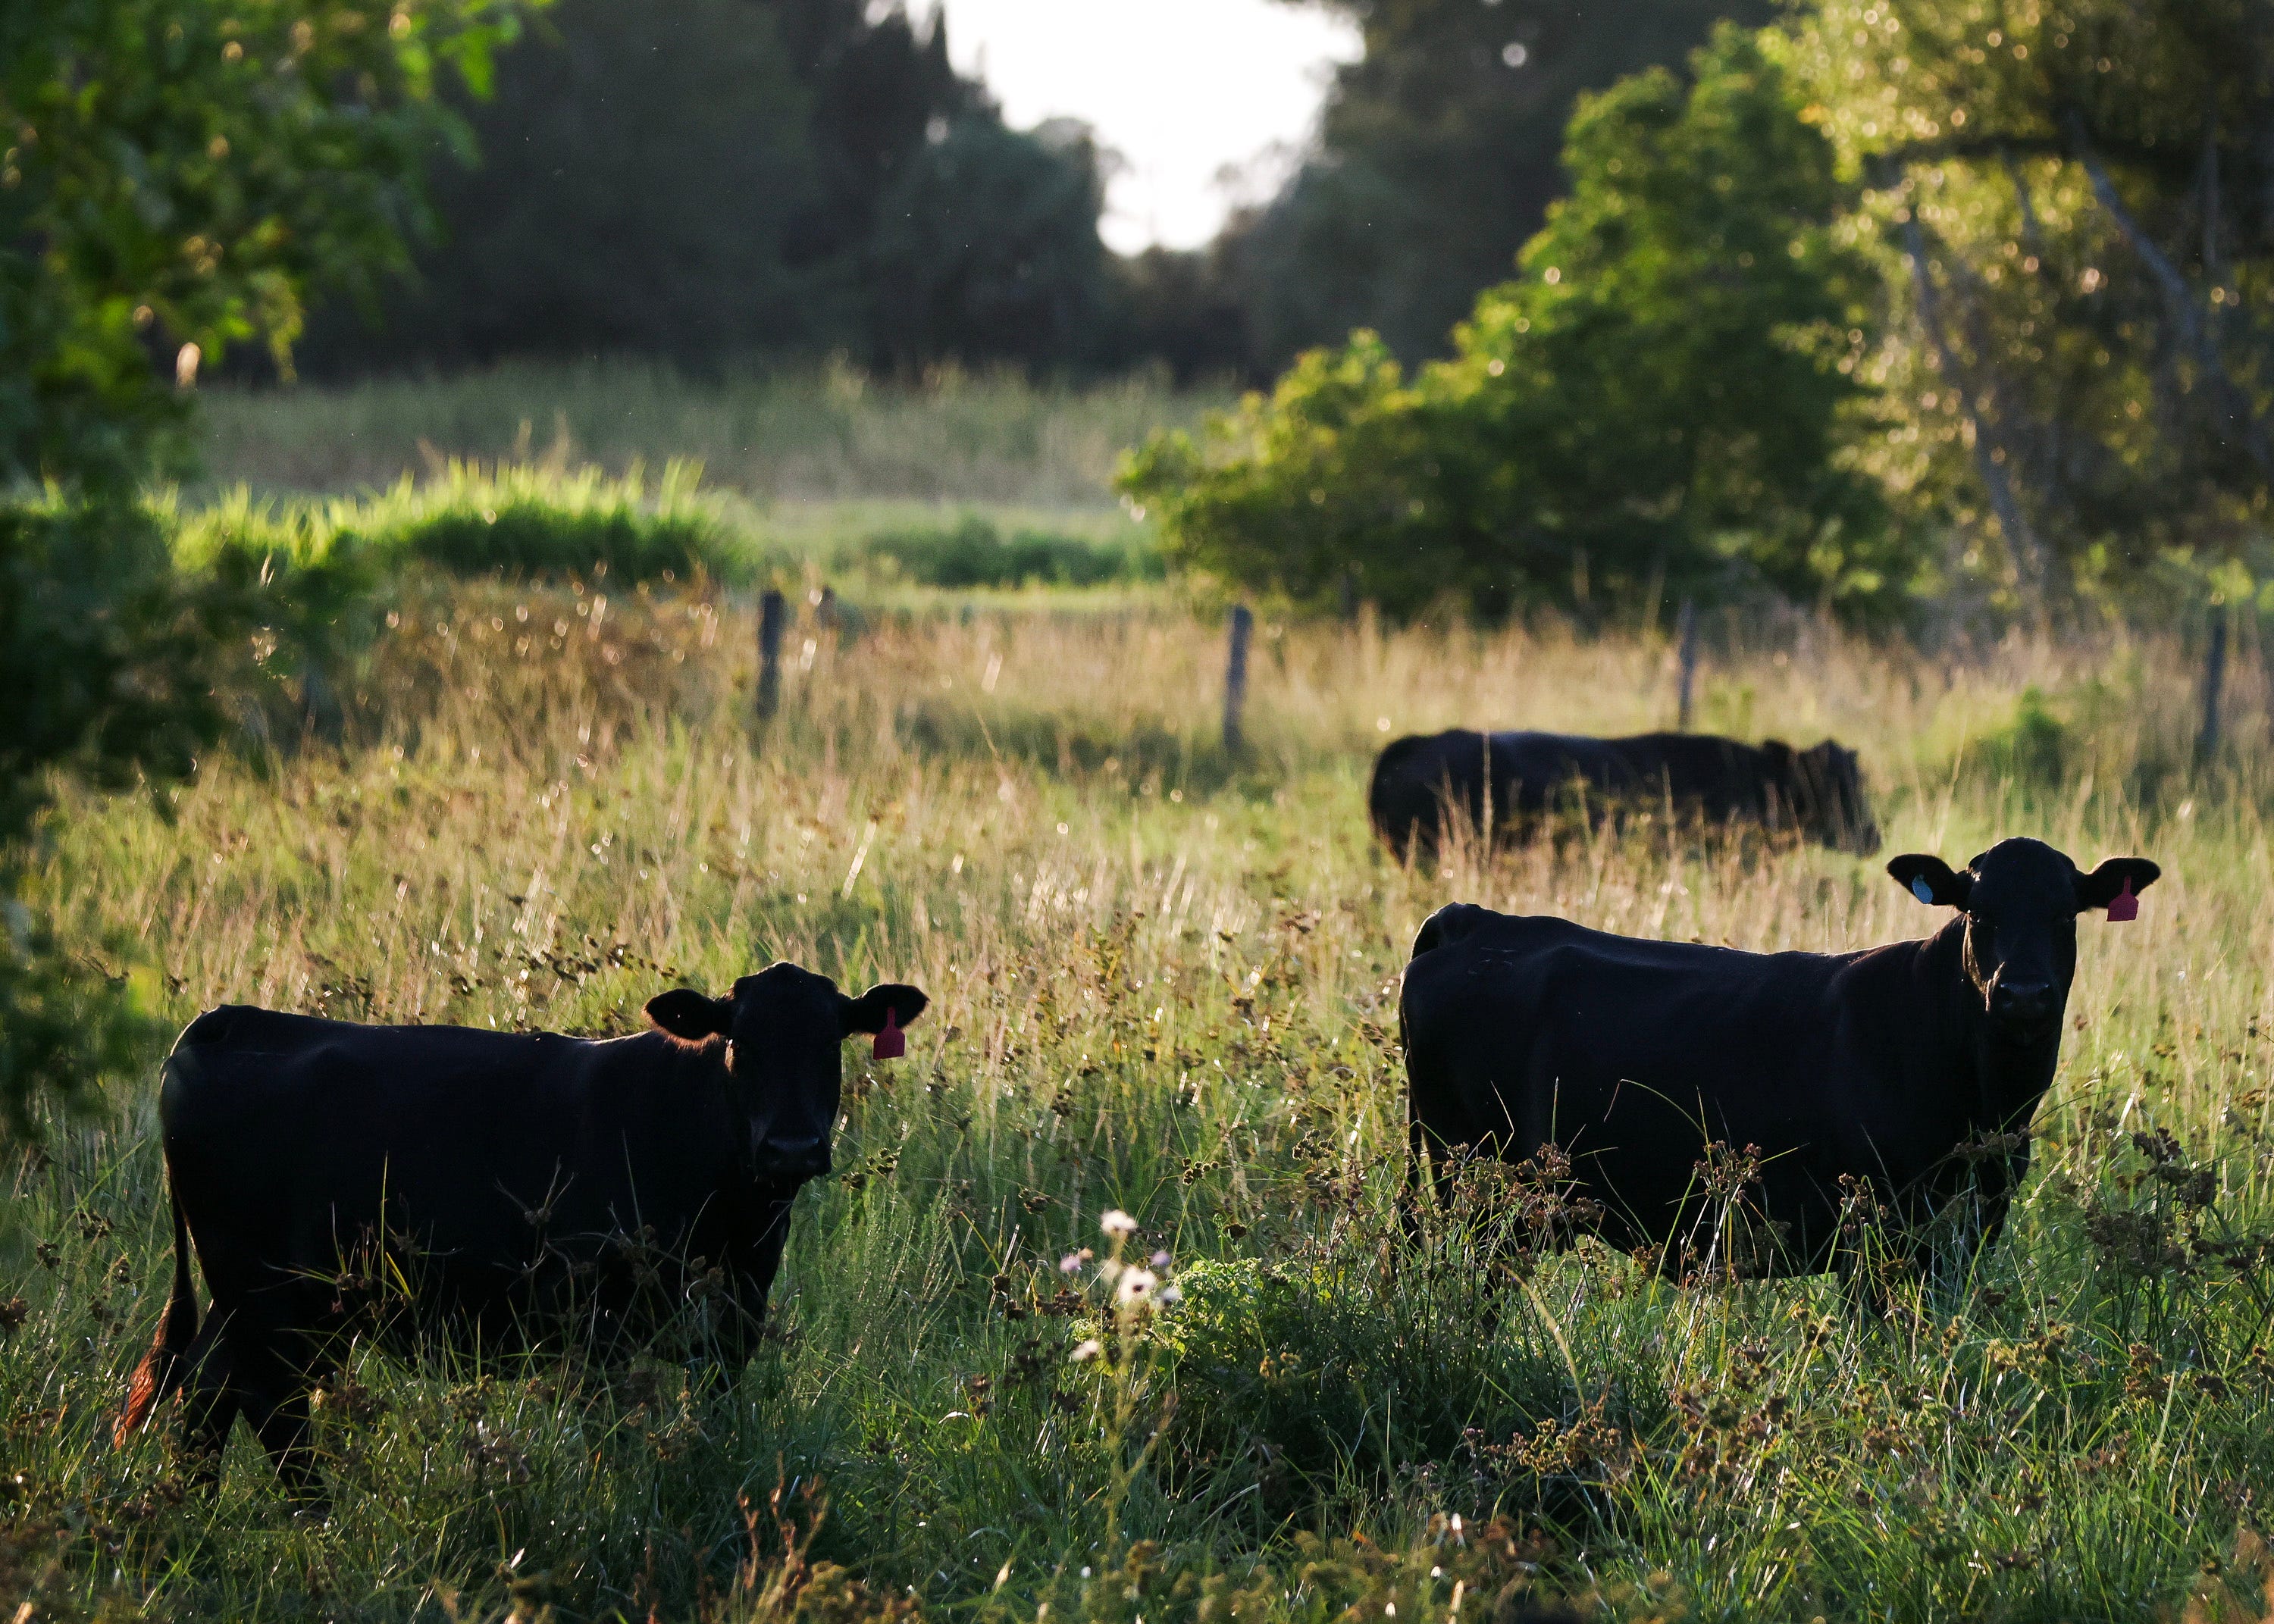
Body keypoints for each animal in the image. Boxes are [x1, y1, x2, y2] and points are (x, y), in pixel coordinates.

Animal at [114, 962, 926, 1495]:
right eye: (741, 1043)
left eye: (831, 1041)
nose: (791, 1147)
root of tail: (229, 1019)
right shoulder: (595, 1324)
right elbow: (613, 1438)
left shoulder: (734, 1322)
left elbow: (712, 1424)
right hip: (270, 1293)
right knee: (261, 1402)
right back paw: (313, 1516)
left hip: (262, 1301)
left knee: (208, 1394)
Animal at [1400, 838, 2156, 1288]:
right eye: (1978, 913)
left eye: (2066, 914)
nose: (2022, 993)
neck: (1990, 1101)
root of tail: (1474, 919)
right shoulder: (1875, 1235)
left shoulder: (1969, 1230)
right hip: (1477, 1185)